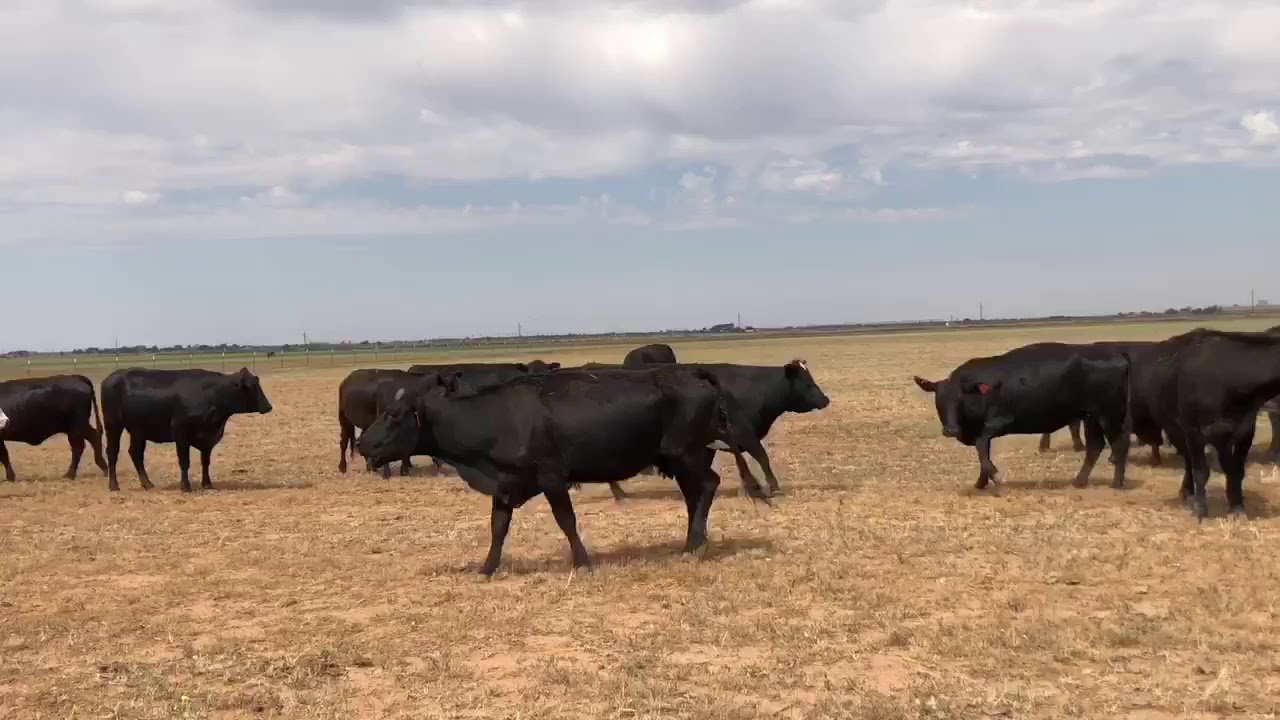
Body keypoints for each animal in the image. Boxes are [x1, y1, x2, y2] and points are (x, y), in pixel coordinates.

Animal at [101, 367, 273, 492]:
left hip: (138, 431)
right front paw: (185, 486)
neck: (212, 395)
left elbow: (205, 462)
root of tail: (112, 377)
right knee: (112, 452)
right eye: (251, 387)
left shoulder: (208, 439)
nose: (268, 406)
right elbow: (184, 462)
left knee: (136, 454)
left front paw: (207, 484)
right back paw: (113, 486)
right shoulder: (181, 433)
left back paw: (148, 484)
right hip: (113, 426)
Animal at [355, 366, 779, 576]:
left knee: (706, 488)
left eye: (393, 415)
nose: (362, 445)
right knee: (696, 494)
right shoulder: (505, 485)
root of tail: (694, 375)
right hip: (682, 459)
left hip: (687, 455)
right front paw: (487, 568)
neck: (497, 419)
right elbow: (497, 528)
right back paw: (691, 542)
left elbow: (566, 521)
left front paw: (582, 561)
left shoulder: (552, 478)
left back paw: (695, 546)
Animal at [913, 342, 1133, 491]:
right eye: (939, 400)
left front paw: (995, 476)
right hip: (1091, 417)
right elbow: (983, 452)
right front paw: (981, 482)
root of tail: (1118, 356)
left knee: (1120, 442)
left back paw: (1116, 483)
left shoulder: (998, 422)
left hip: (1108, 416)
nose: (951, 430)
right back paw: (1080, 481)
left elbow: (982, 447)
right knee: (1095, 447)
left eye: (960, 399)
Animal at [1132, 329, 1280, 520]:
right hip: (1175, 429)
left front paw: (1236, 506)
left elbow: (1237, 470)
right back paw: (1187, 490)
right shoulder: (1193, 431)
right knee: (1188, 460)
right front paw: (1200, 509)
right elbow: (1201, 471)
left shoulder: (1244, 432)